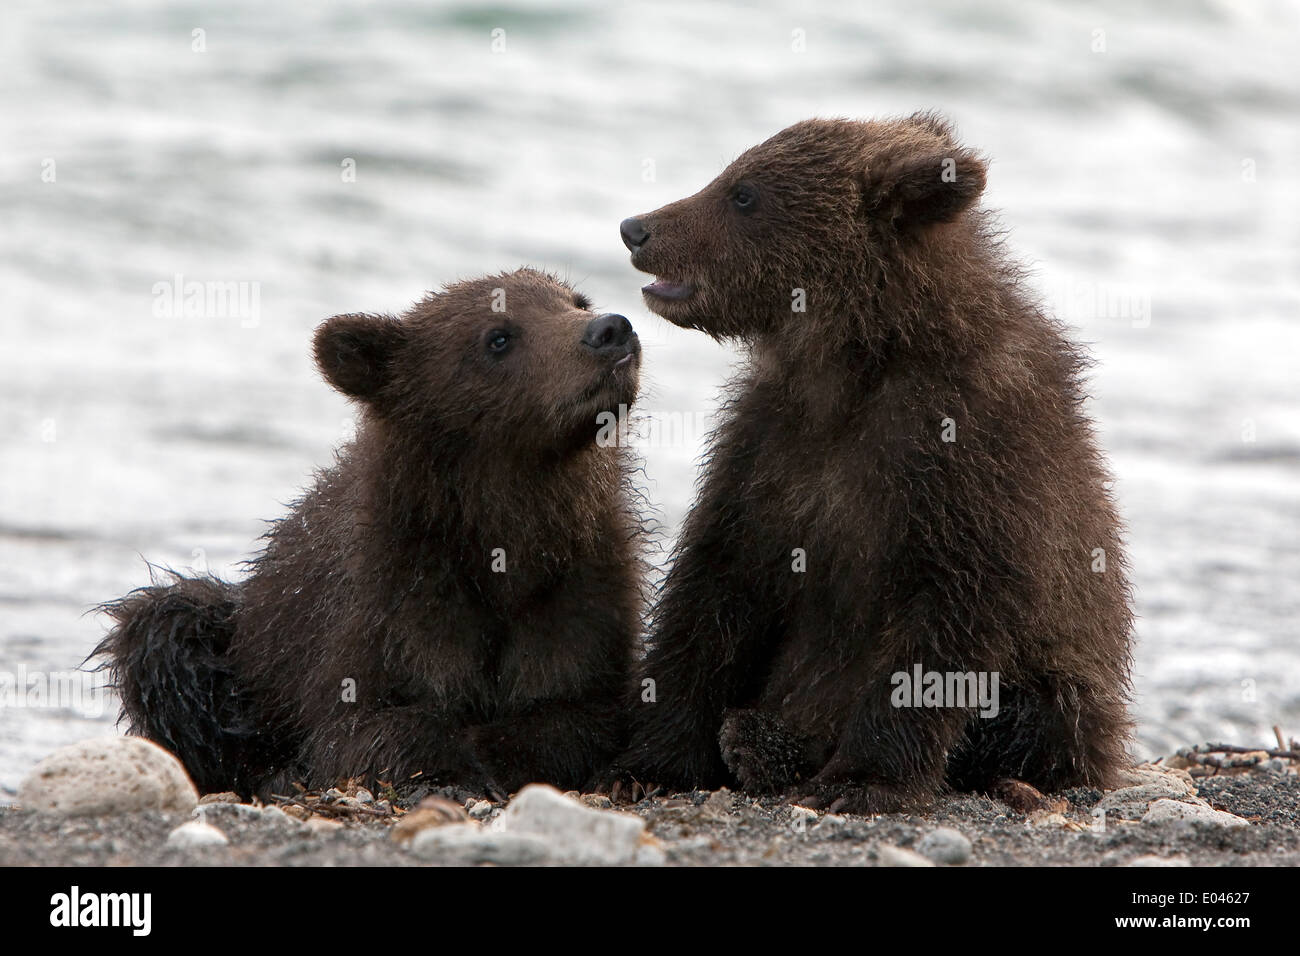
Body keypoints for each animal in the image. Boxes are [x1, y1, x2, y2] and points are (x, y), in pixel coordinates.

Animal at [94, 268, 645, 799]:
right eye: (499, 337)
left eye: (576, 301)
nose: (611, 329)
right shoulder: (391, 597)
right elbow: (368, 727)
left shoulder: (580, 588)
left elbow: (574, 712)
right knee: (166, 626)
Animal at [614, 114, 1134, 814]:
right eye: (732, 175)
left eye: (744, 194)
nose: (637, 228)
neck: (857, 363)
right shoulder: (768, 446)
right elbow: (717, 589)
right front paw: (649, 760)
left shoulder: (973, 453)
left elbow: (944, 621)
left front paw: (861, 779)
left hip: (1064, 689)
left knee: (1034, 719)